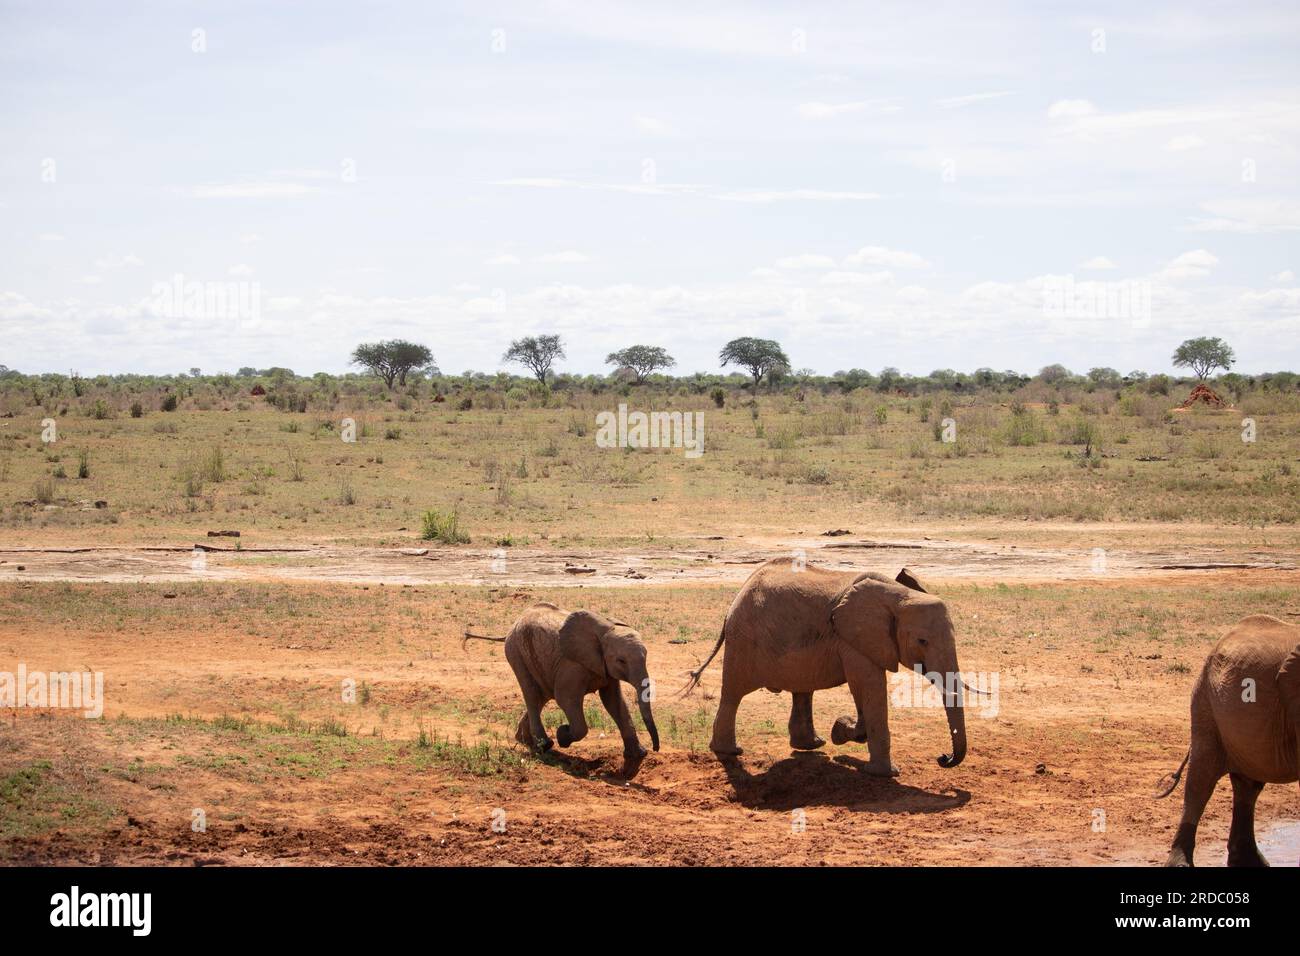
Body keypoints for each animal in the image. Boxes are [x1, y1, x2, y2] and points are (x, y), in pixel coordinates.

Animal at [464, 602, 660, 768]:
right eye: (621, 661)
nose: (656, 748)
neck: (604, 631)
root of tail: (514, 623)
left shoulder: (604, 667)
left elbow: (614, 701)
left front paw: (638, 755)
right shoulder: (572, 665)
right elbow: (566, 699)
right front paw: (562, 734)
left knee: (541, 696)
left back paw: (524, 741)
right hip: (516, 652)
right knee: (532, 694)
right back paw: (545, 745)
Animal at [685, 558, 968, 776]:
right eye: (922, 641)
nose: (943, 758)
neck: (897, 594)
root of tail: (736, 598)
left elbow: (863, 691)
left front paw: (841, 732)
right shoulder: (853, 639)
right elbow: (869, 686)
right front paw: (882, 771)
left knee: (802, 690)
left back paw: (812, 745)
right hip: (743, 641)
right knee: (733, 695)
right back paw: (729, 751)